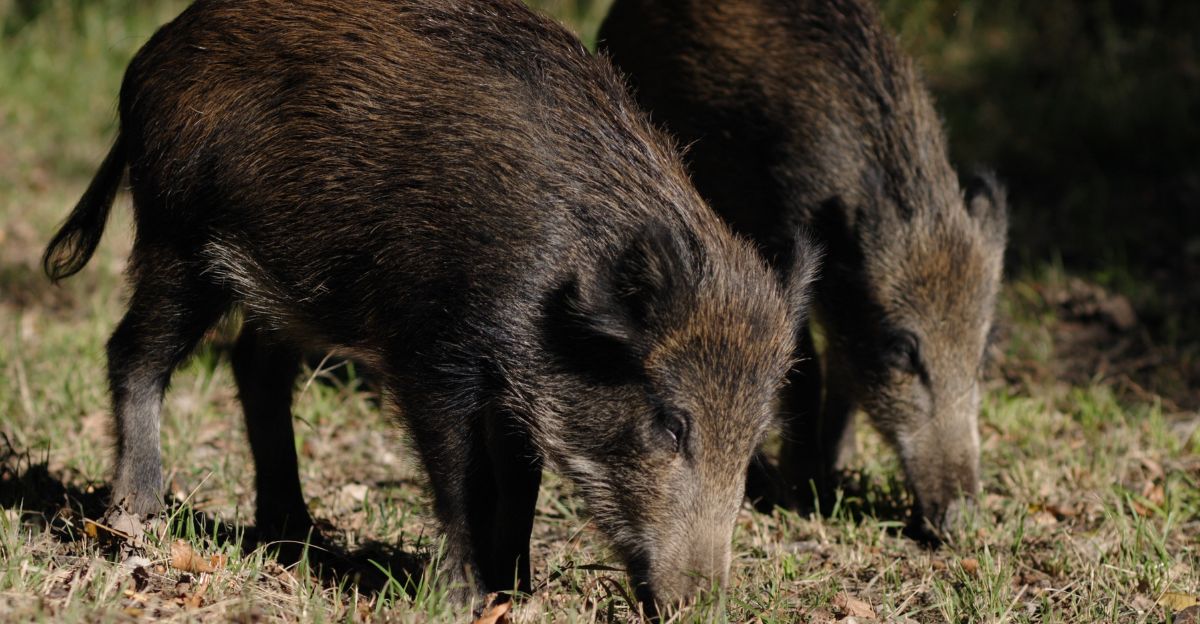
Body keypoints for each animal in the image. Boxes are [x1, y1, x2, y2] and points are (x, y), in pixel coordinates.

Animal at [42, 0, 818, 611]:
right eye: (670, 424)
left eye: (755, 435)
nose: (702, 605)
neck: (553, 284)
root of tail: (149, 58)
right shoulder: (432, 350)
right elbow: (462, 474)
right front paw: (466, 597)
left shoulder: (519, 383)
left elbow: (522, 481)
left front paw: (517, 593)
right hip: (178, 238)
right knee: (133, 353)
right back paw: (137, 520)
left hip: (282, 288)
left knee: (254, 367)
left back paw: (299, 535)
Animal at [598, 0, 1008, 537]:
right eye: (901, 348)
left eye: (982, 355)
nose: (962, 522)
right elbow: (805, 367)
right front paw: (804, 494)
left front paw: (836, 466)